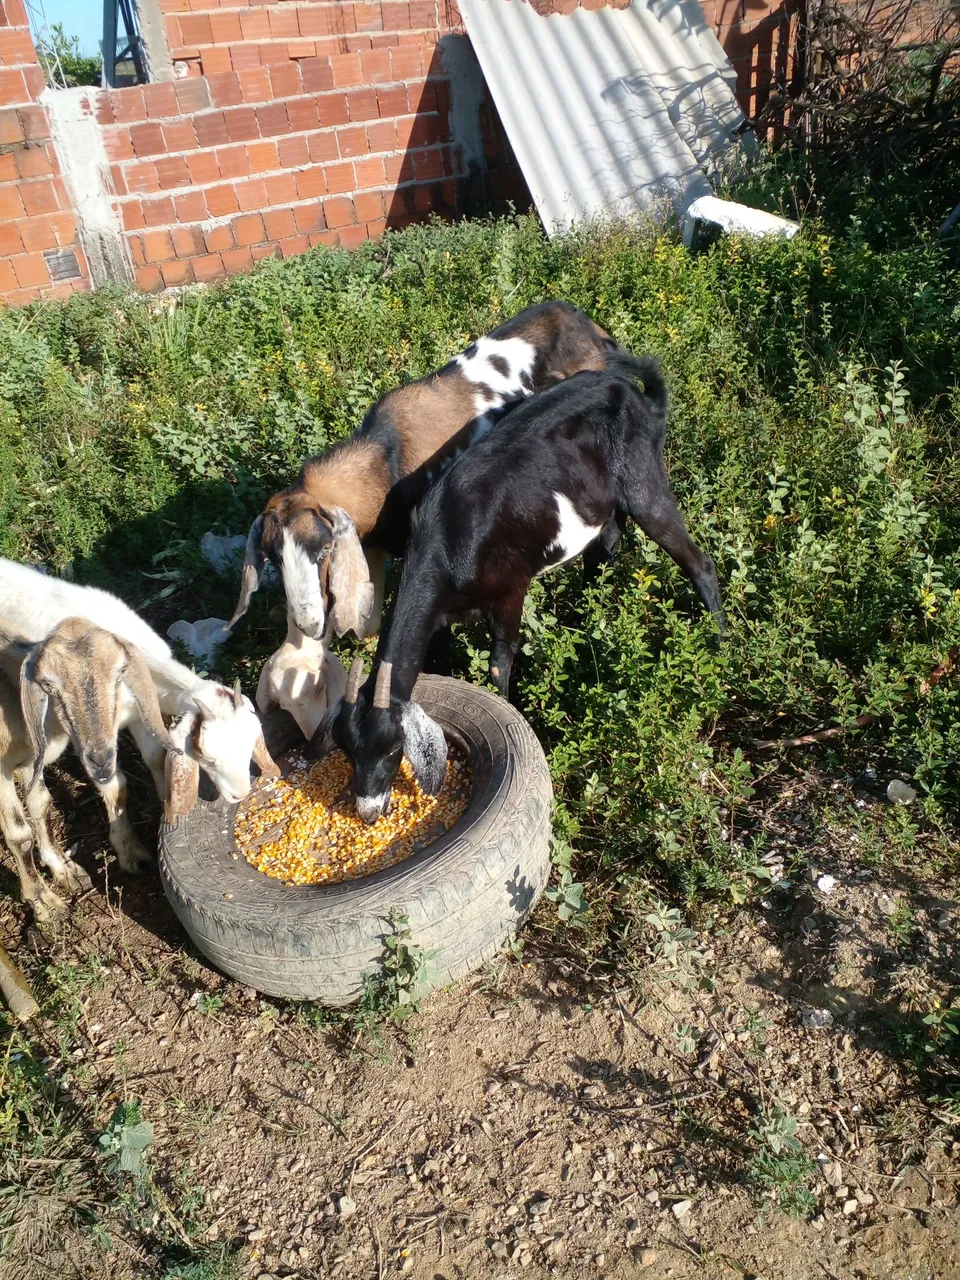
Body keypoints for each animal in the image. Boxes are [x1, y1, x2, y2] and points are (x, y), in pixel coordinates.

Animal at [0, 558, 279, 815]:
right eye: (206, 756)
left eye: (251, 742)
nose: (240, 794)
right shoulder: (88, 735)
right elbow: (110, 782)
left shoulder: (139, 712)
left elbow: (154, 757)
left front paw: (162, 799)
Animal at [0, 618, 177, 919]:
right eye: (47, 683)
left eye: (121, 671)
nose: (101, 760)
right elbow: (19, 833)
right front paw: (44, 903)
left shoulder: (31, 758)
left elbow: (41, 805)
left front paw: (64, 870)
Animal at [229, 300, 617, 642]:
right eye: (273, 559)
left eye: (324, 548)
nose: (308, 625)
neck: (385, 466)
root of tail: (588, 326)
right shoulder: (373, 548)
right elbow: (368, 624)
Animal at [315, 352, 724, 822]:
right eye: (348, 751)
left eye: (391, 747)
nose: (367, 811)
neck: (448, 538)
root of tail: (640, 398)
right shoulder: (441, 614)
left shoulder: (511, 591)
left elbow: (498, 664)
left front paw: (512, 712)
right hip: (602, 506)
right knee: (606, 549)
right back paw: (587, 632)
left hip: (644, 483)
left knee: (698, 562)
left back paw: (718, 644)